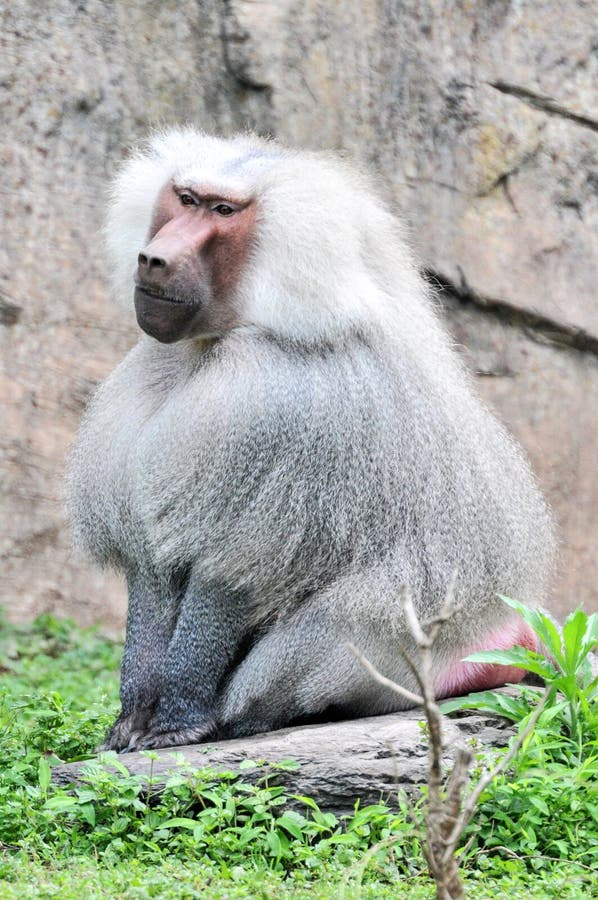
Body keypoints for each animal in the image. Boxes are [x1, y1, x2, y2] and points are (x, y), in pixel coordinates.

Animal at [66, 128, 555, 752]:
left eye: (223, 212)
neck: (236, 333)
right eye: (185, 198)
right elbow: (150, 564)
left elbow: (234, 568)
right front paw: (131, 720)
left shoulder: (269, 405)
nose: (153, 258)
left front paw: (178, 724)